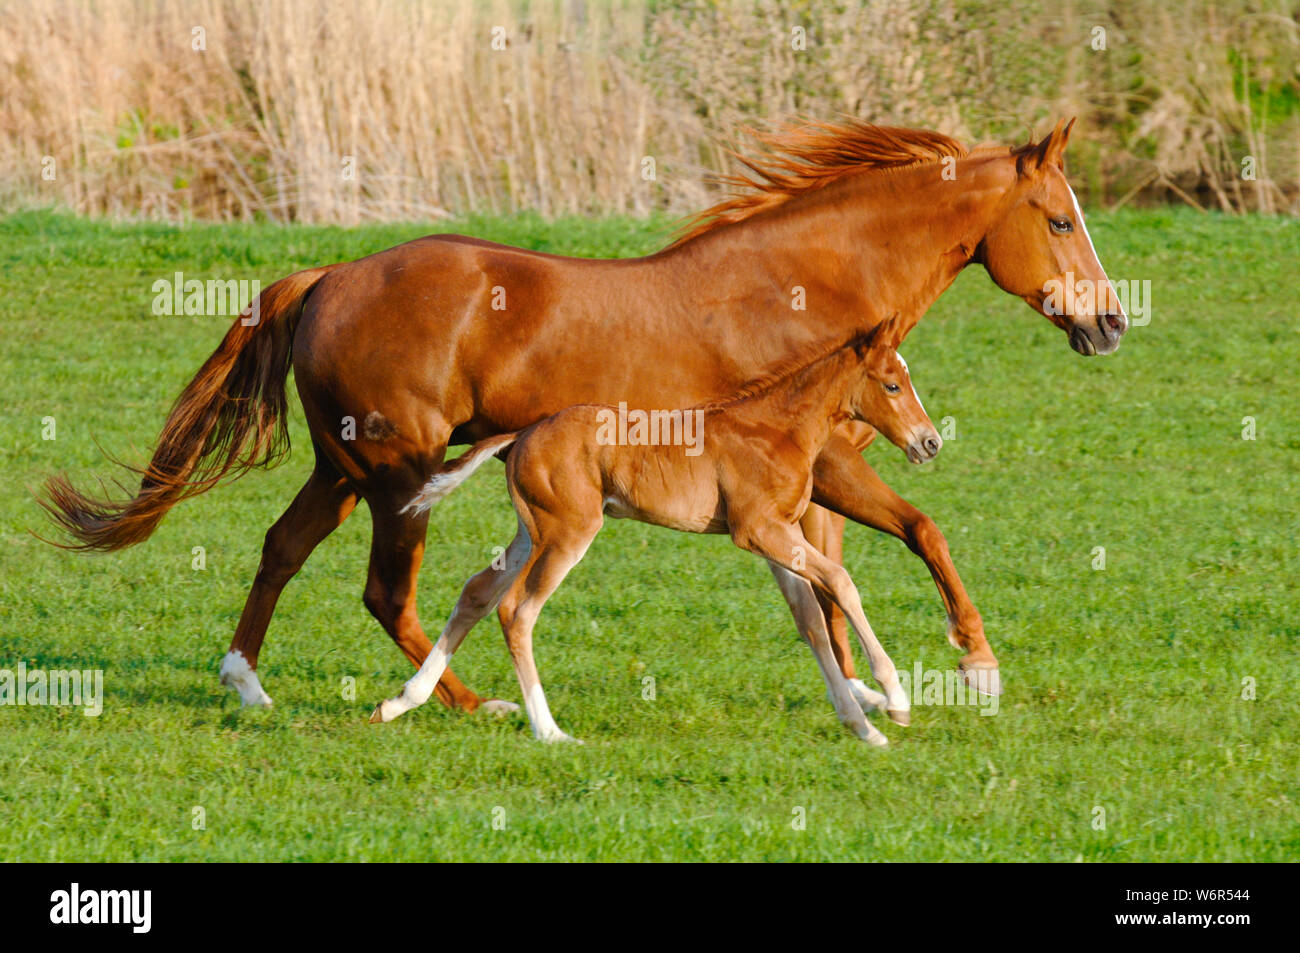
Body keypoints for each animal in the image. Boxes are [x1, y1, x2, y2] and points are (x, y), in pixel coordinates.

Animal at [371, 315, 935, 746]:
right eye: (892, 384)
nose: (930, 442)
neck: (777, 429)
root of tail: (524, 433)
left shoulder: (779, 537)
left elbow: (811, 621)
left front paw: (863, 728)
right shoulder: (758, 531)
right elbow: (841, 582)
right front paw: (894, 699)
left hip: (531, 531)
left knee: (477, 593)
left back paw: (400, 702)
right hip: (569, 532)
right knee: (517, 610)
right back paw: (550, 732)